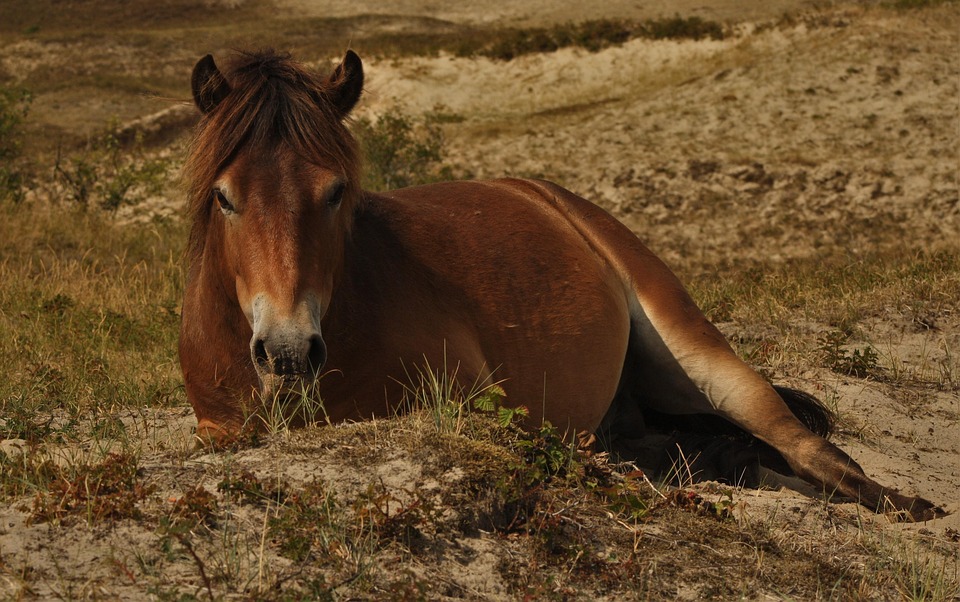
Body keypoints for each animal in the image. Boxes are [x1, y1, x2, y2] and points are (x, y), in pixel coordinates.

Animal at [179, 48, 942, 522]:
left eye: (335, 192)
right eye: (224, 197)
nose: (287, 351)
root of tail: (548, 193)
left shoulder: (477, 404)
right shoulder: (217, 430)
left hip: (697, 357)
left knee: (803, 447)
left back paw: (905, 506)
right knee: (715, 459)